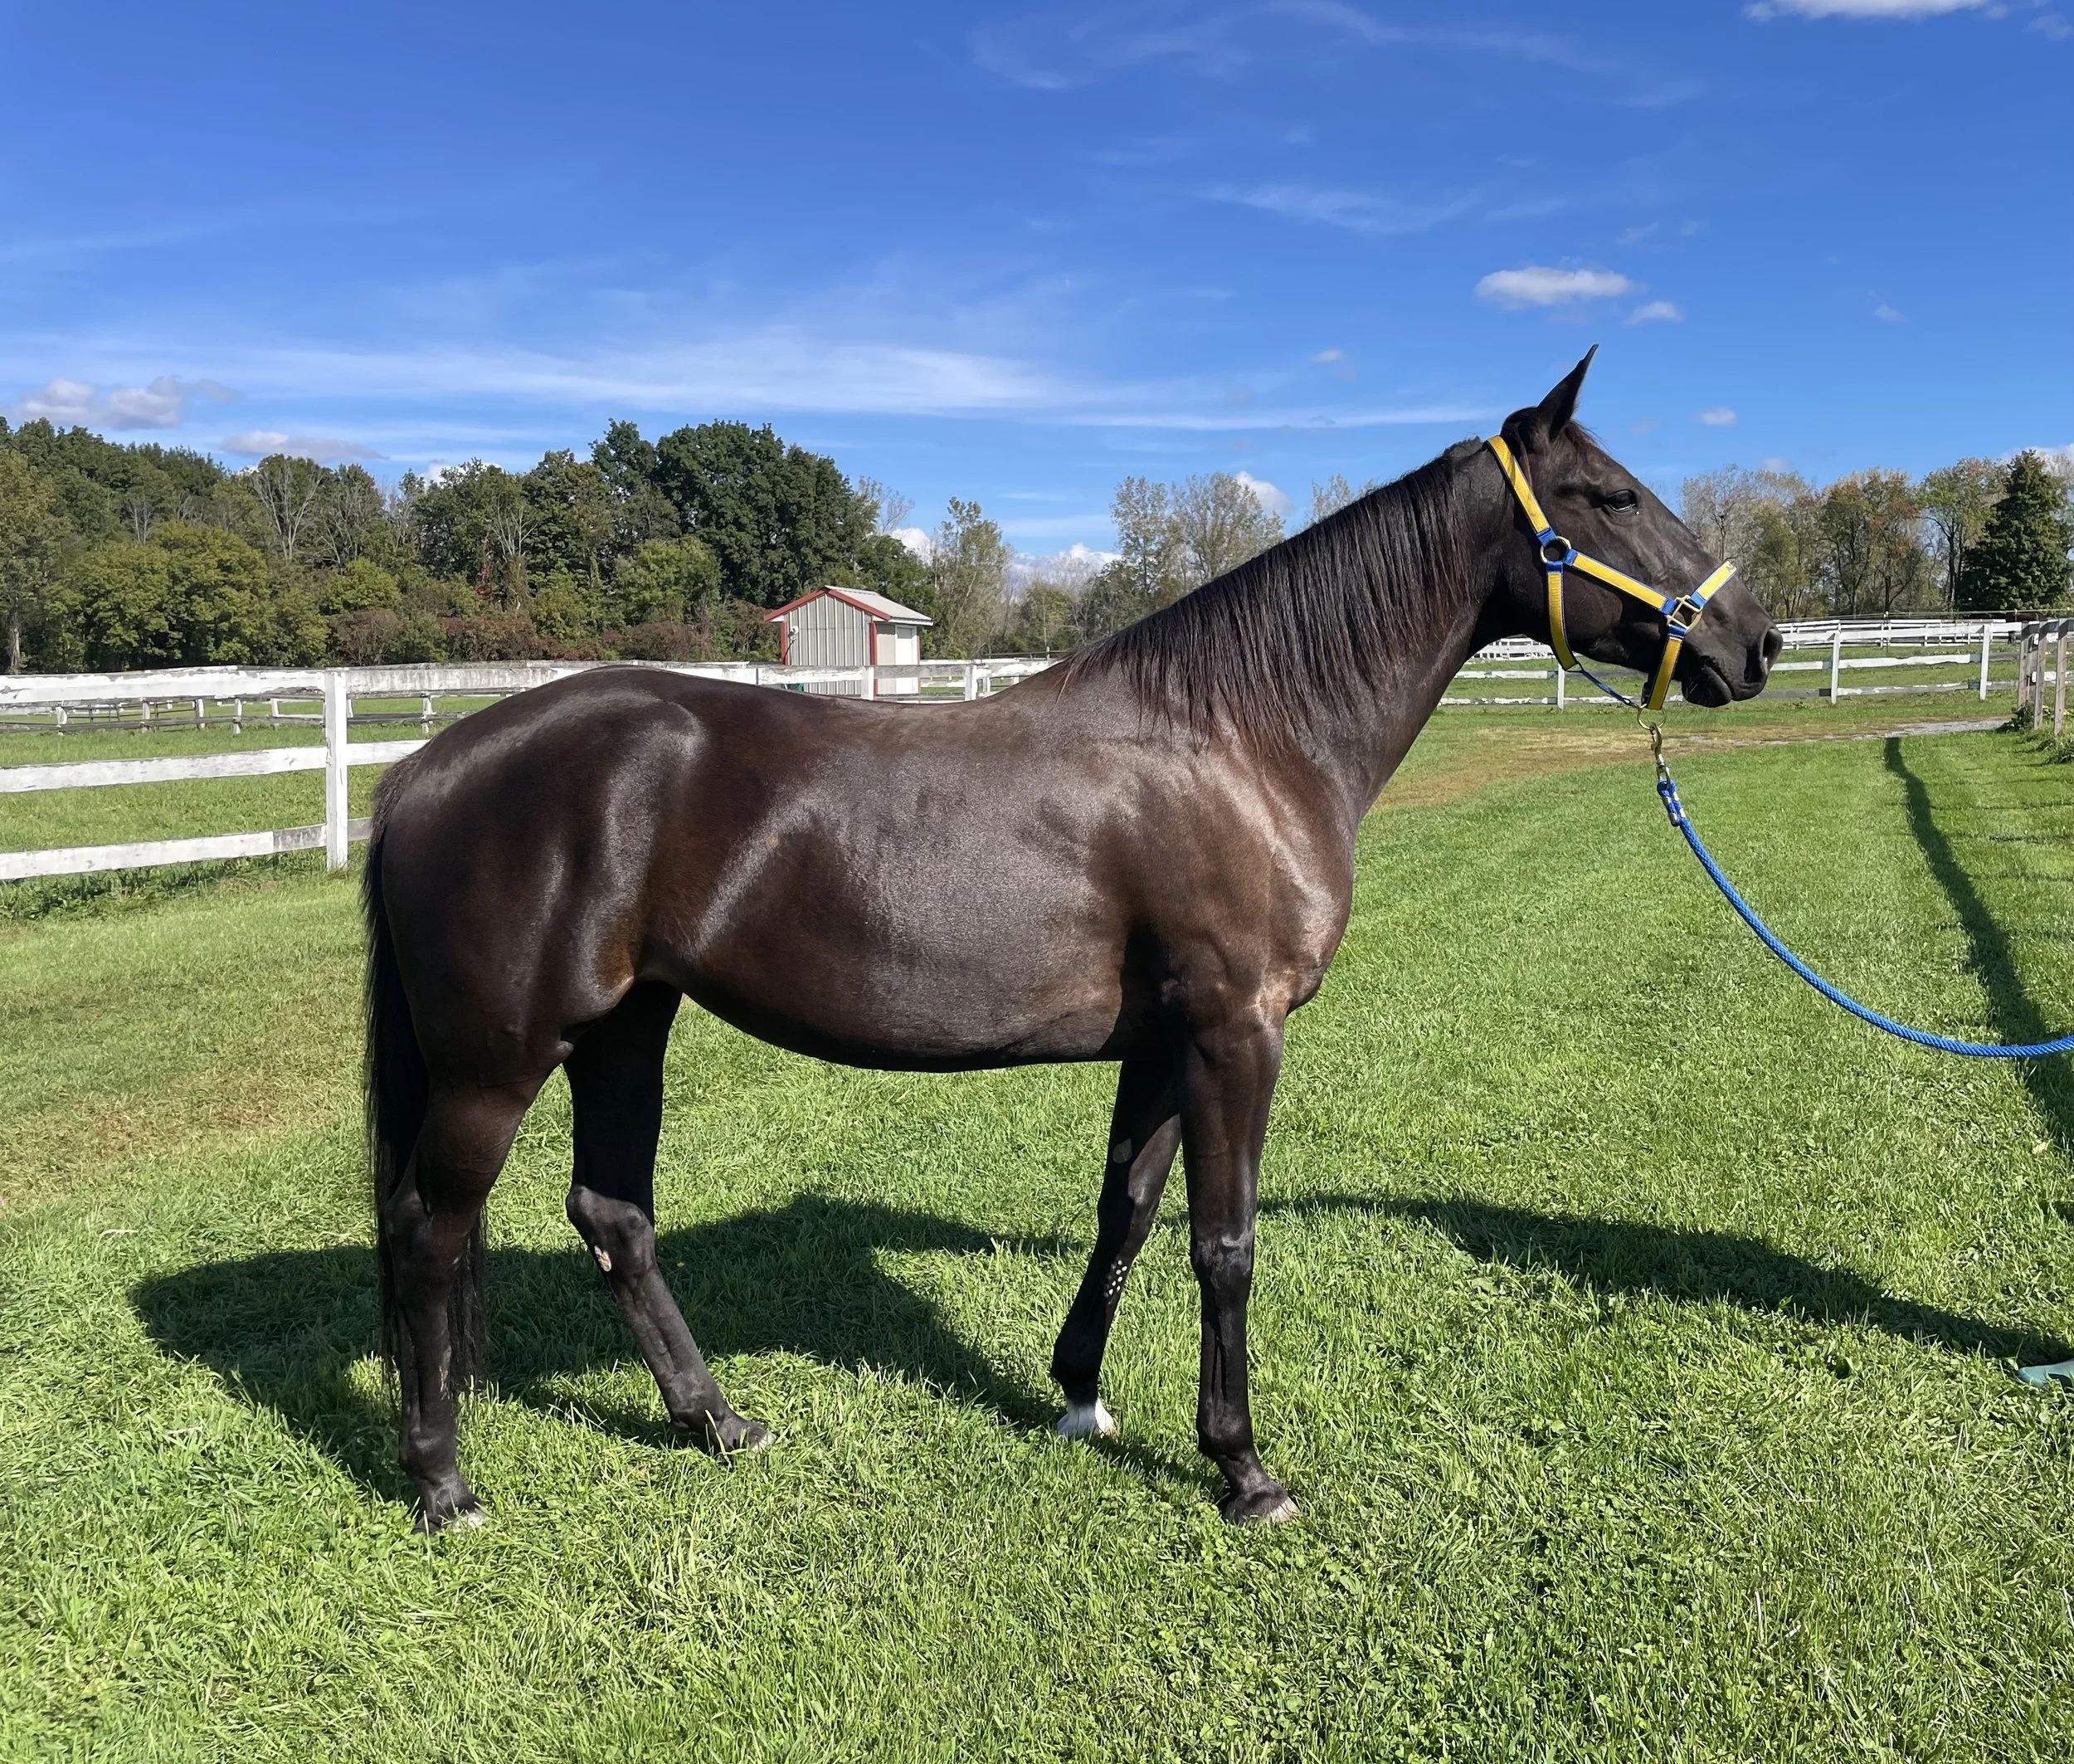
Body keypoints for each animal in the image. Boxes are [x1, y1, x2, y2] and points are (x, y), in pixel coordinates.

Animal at [364, 350, 1780, 1531]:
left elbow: (1128, 1215)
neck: (1241, 740)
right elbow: (1225, 1244)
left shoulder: (1162, 1044)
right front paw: (1243, 1466)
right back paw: (443, 1483)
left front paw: (1079, 1396)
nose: (1753, 642)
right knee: (428, 1228)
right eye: (1608, 494)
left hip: (625, 1028)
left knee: (614, 1214)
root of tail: (424, 769)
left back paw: (718, 1421)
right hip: (499, 1062)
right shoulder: (1235, 1034)